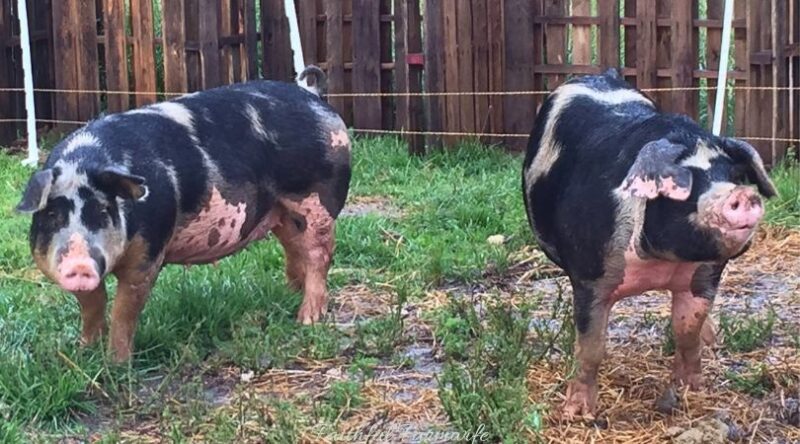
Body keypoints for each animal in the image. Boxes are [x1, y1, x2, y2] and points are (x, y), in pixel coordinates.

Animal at [15, 66, 351, 362]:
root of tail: (313, 96)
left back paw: (308, 318)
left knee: (319, 253)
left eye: (103, 210)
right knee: (294, 246)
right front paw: (83, 352)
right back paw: (288, 294)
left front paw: (117, 364)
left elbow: (124, 310)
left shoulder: (149, 252)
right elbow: (92, 305)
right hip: (280, 210)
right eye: (51, 215)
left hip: (318, 201)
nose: (80, 264)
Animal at [521, 68, 777, 418]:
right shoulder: (590, 275)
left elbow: (687, 331)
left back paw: (714, 339)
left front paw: (691, 389)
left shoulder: (704, 276)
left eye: (734, 175)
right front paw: (578, 413)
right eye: (684, 181)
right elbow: (590, 347)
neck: (660, 261)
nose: (741, 194)